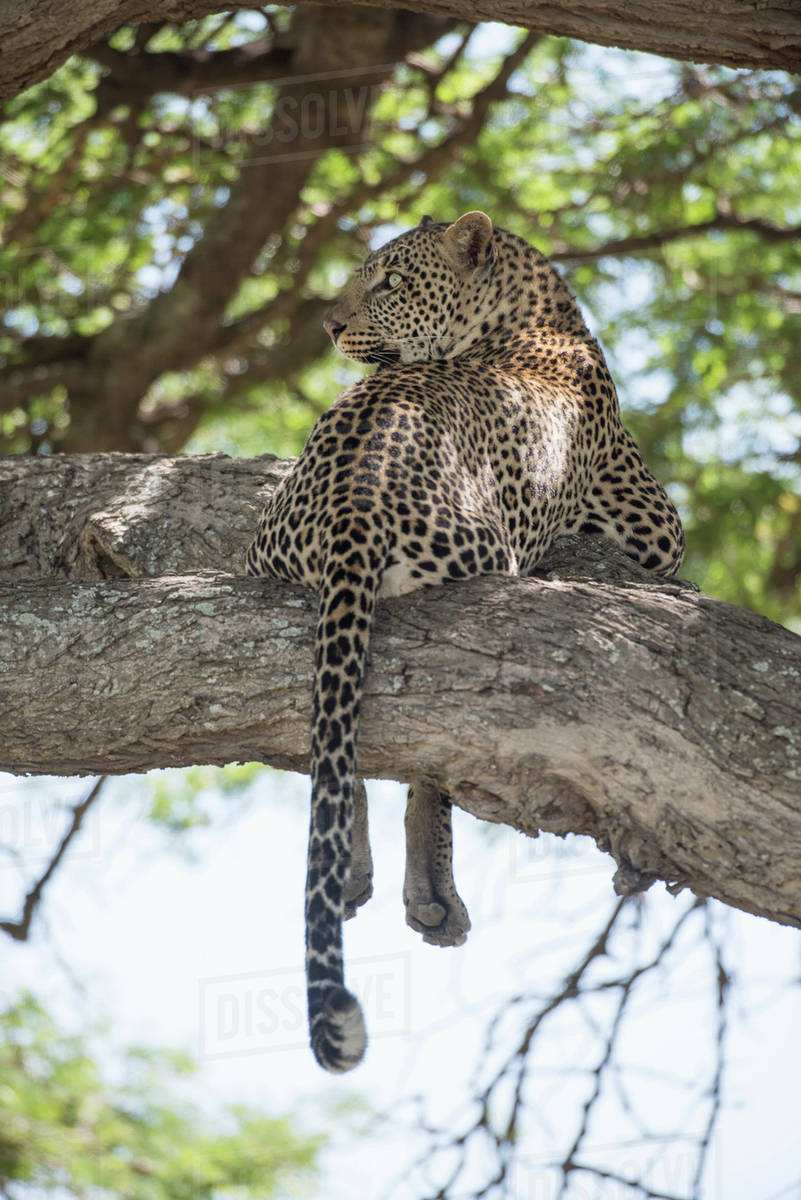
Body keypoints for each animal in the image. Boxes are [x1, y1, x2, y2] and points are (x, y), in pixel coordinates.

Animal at [246, 211, 684, 1073]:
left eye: (387, 280)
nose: (329, 325)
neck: (534, 311)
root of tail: (355, 501)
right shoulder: (655, 532)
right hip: (490, 558)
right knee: (430, 743)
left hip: (270, 551)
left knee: (346, 727)